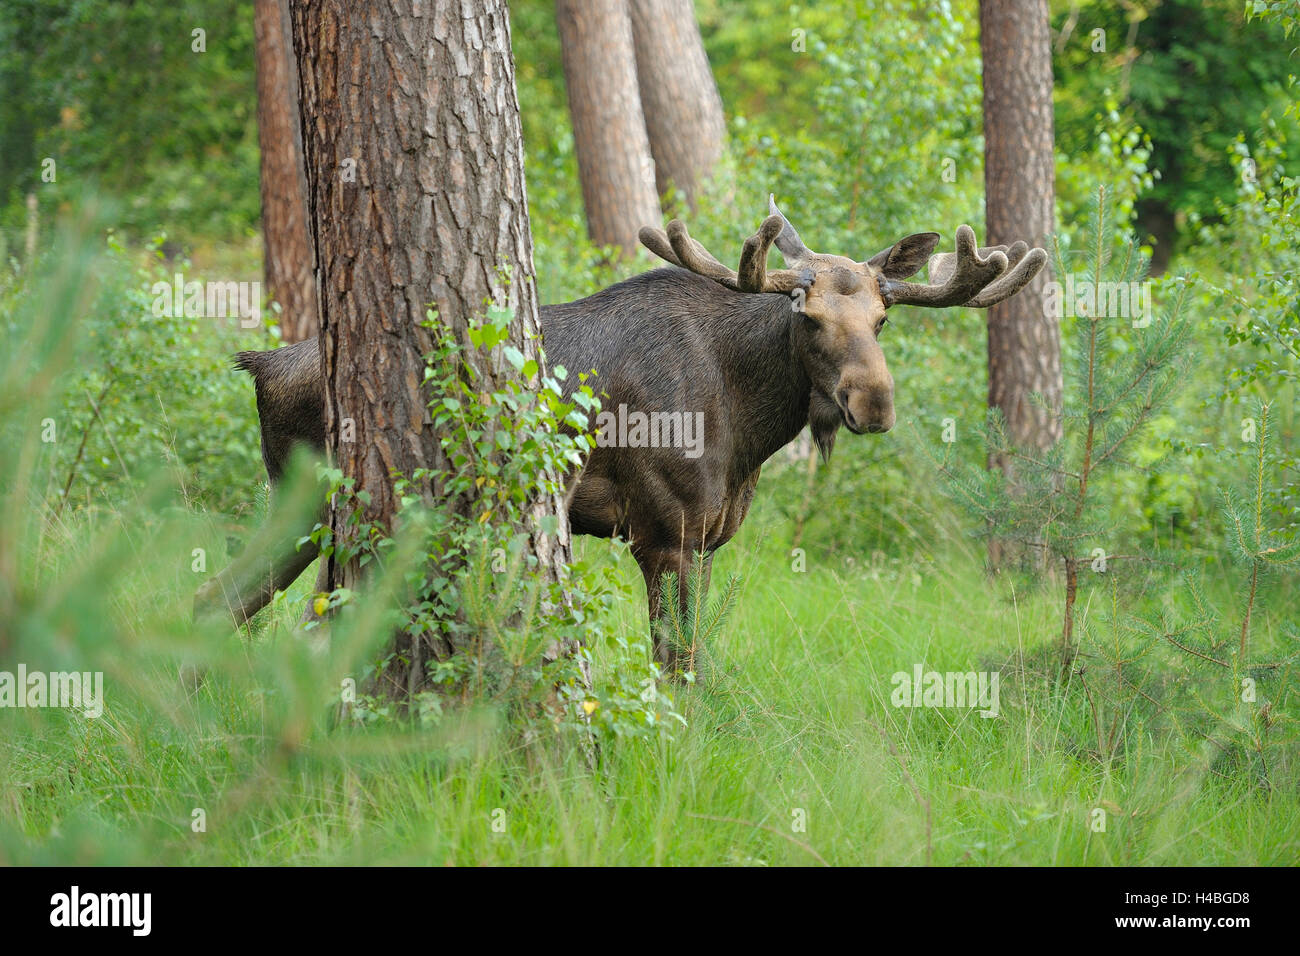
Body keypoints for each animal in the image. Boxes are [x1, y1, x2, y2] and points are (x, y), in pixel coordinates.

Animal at [204, 196, 1046, 674]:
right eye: (806, 316)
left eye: (881, 317)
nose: (872, 401)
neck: (748, 430)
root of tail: (261, 363)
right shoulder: (664, 531)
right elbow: (676, 662)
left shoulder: (708, 535)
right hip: (309, 505)